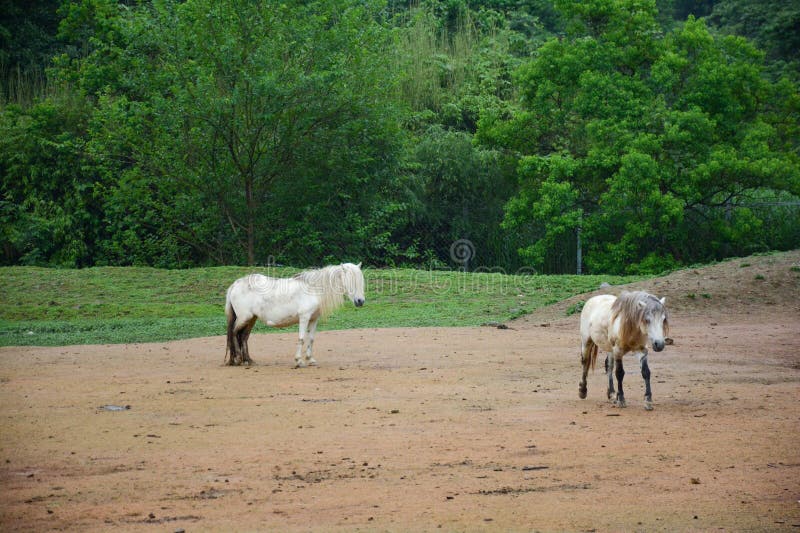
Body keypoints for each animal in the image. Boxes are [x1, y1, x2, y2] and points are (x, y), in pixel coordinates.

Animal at [224, 262, 365, 367]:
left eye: (361, 280)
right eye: (351, 280)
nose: (360, 301)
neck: (313, 289)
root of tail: (235, 285)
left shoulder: (314, 319)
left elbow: (311, 339)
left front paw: (310, 359)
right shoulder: (304, 318)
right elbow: (301, 338)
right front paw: (299, 361)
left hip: (251, 319)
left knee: (243, 336)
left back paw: (248, 360)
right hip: (244, 318)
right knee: (234, 333)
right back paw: (237, 359)